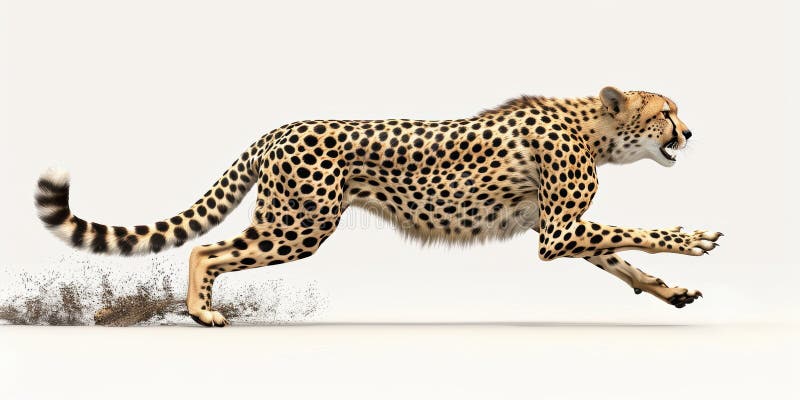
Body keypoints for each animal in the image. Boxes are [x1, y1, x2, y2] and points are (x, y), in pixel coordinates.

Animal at [35, 86, 722, 327]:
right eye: (667, 112)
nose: (690, 134)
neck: (592, 128)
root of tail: (278, 129)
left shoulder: (559, 229)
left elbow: (621, 258)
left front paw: (671, 292)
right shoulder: (557, 231)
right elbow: (635, 232)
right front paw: (693, 242)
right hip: (300, 224)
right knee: (206, 247)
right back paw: (202, 315)